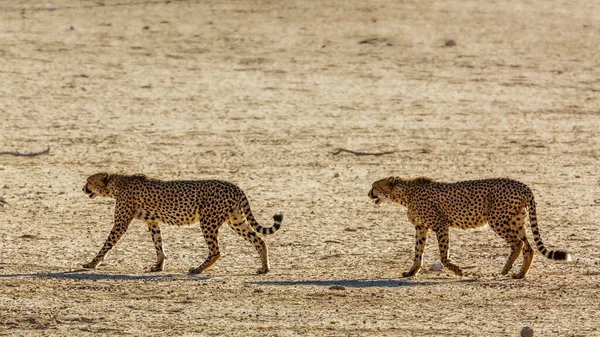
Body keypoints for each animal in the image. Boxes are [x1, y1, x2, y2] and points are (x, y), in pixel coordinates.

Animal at [81, 173, 284, 272]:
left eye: (89, 182)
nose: (83, 188)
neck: (115, 185)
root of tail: (235, 186)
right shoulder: (152, 221)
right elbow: (158, 244)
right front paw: (158, 266)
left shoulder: (121, 224)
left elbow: (106, 245)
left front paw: (92, 263)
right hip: (236, 220)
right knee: (259, 240)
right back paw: (264, 268)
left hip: (208, 221)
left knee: (216, 251)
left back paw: (197, 269)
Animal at [368, 176, 568, 278]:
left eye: (374, 186)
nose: (368, 194)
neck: (405, 194)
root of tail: (523, 185)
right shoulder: (421, 228)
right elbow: (418, 252)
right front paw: (411, 272)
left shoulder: (440, 225)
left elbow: (443, 255)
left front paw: (457, 270)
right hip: (516, 221)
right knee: (529, 247)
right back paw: (519, 273)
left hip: (497, 220)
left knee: (518, 244)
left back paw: (507, 270)